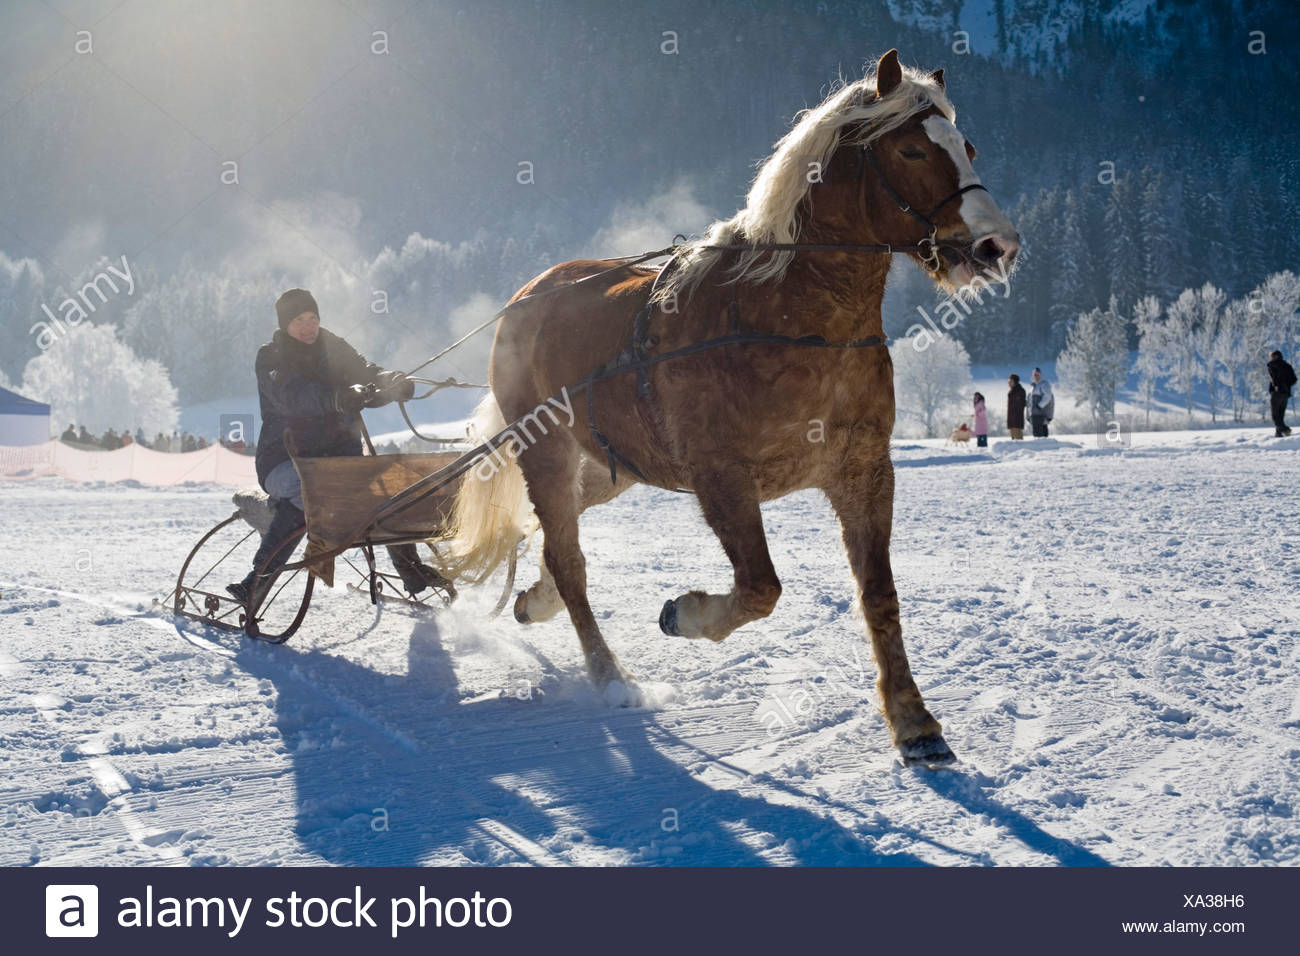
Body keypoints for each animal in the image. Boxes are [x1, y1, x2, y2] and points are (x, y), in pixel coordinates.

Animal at [447, 50, 1020, 766]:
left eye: (966, 147)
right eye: (913, 149)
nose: (997, 245)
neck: (793, 320)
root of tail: (526, 297)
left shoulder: (864, 471)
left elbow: (879, 595)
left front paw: (913, 721)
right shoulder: (722, 477)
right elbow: (761, 588)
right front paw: (685, 614)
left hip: (611, 464)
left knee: (556, 537)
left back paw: (537, 601)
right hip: (547, 452)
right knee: (571, 560)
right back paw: (611, 677)